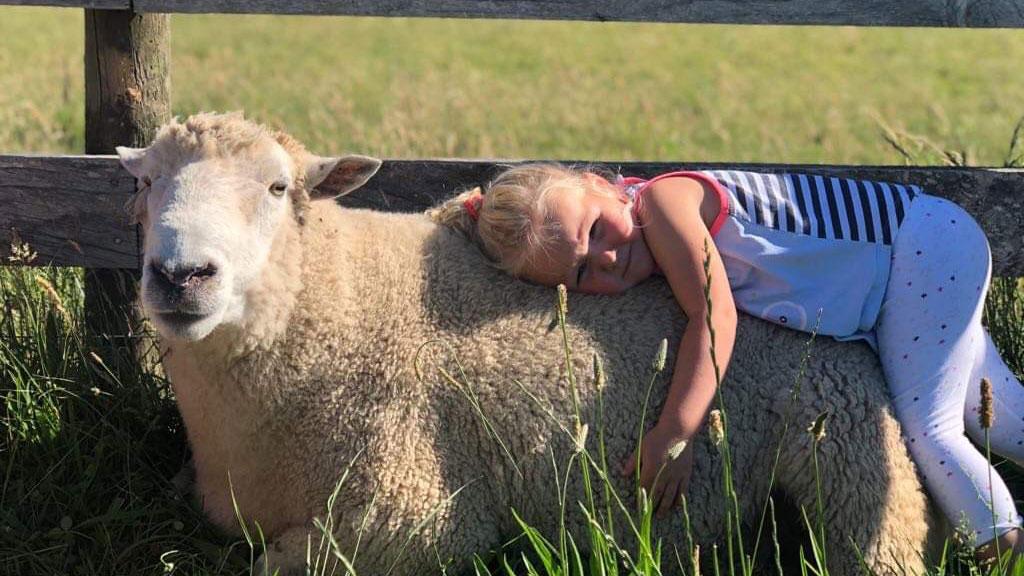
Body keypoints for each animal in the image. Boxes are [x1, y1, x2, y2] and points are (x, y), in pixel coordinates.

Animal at [116, 112, 932, 575]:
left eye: (279, 187)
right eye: (146, 183)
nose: (181, 275)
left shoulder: (416, 519)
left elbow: (271, 565)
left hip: (852, 451)